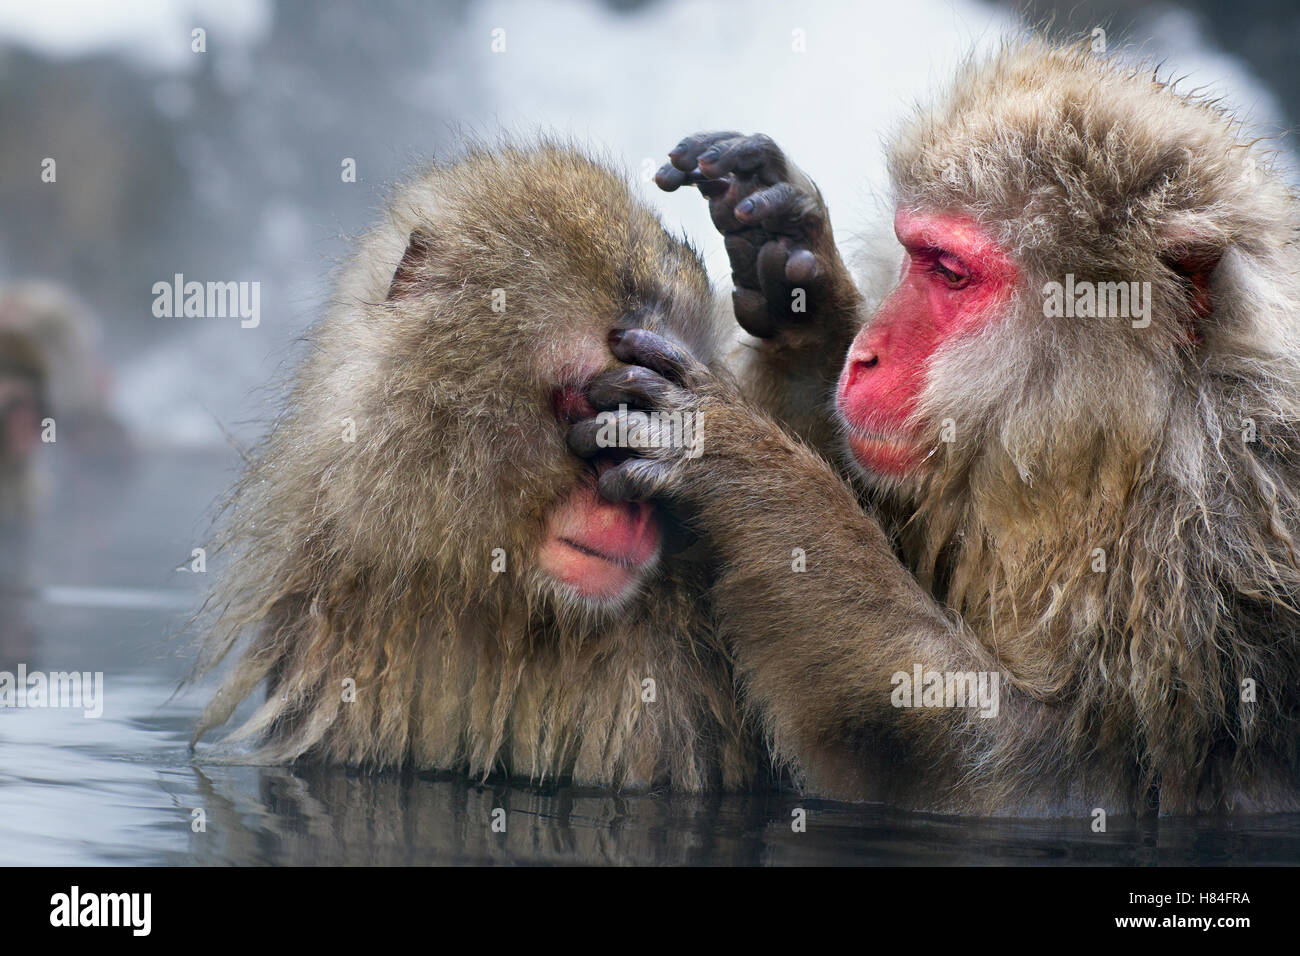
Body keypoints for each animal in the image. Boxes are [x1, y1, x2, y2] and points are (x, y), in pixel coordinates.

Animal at [570, 39, 1300, 815]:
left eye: (950, 272)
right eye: (914, 256)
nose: (864, 356)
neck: (1134, 458)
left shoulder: (1217, 568)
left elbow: (1040, 777)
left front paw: (742, 469)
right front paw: (795, 272)